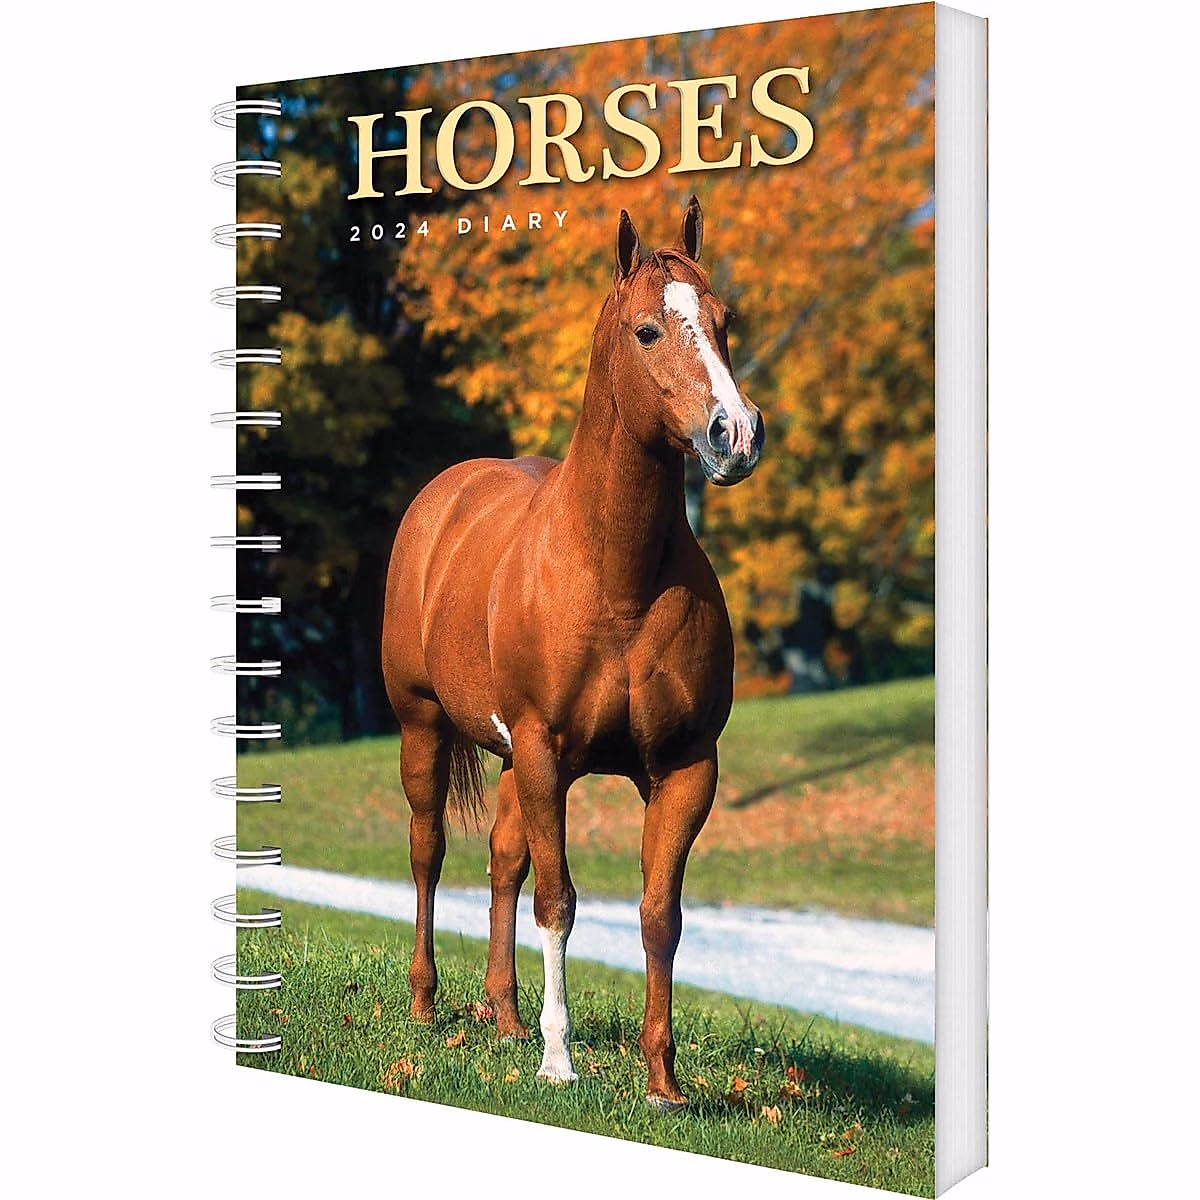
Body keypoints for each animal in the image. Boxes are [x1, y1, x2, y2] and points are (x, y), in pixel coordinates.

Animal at [381, 196, 765, 1109]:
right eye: (646, 330)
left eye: (725, 321)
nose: (734, 434)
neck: (613, 574)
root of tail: (443, 494)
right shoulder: (548, 754)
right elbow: (558, 901)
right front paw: (560, 1060)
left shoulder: (685, 769)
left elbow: (659, 914)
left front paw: (662, 1081)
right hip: (426, 729)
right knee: (428, 853)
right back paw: (427, 1005)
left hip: (512, 761)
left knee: (501, 864)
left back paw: (505, 1017)